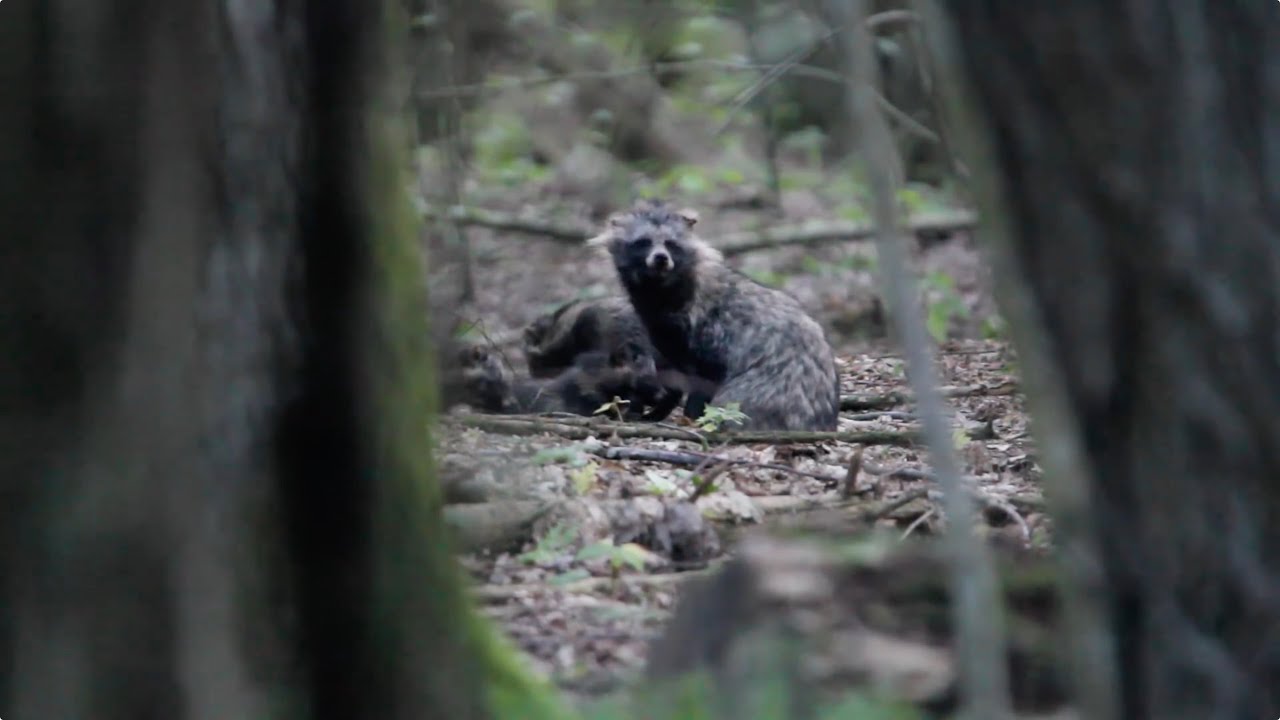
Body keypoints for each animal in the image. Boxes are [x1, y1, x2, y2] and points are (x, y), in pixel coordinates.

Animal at [589, 198, 840, 431]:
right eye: (643, 242)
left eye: (671, 244)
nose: (661, 258)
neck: (659, 288)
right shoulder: (664, 333)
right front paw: (659, 407)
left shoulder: (709, 329)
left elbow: (706, 377)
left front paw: (690, 416)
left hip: (771, 389)